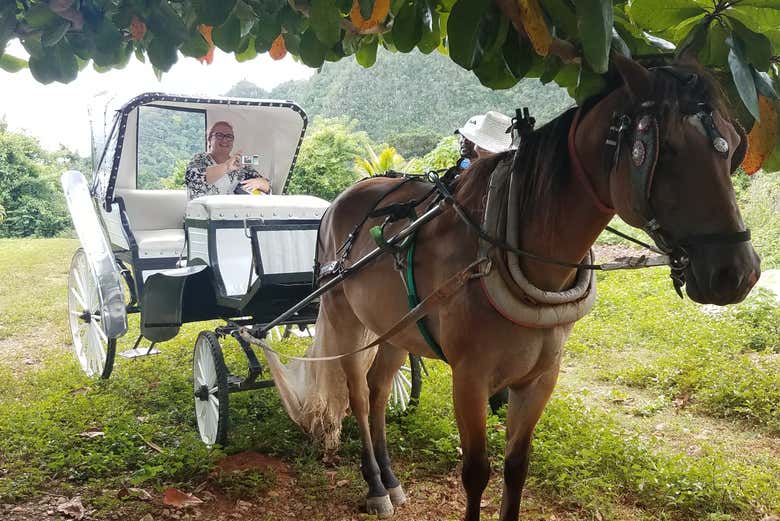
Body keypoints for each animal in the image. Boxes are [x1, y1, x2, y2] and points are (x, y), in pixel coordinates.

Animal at [270, 55, 760, 521]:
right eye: (669, 151)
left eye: (735, 149)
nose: (739, 273)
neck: (510, 248)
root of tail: (339, 200)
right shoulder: (469, 378)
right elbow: (476, 472)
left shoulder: (540, 379)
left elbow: (517, 467)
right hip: (345, 318)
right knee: (355, 392)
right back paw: (374, 485)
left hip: (396, 328)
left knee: (376, 391)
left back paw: (390, 479)